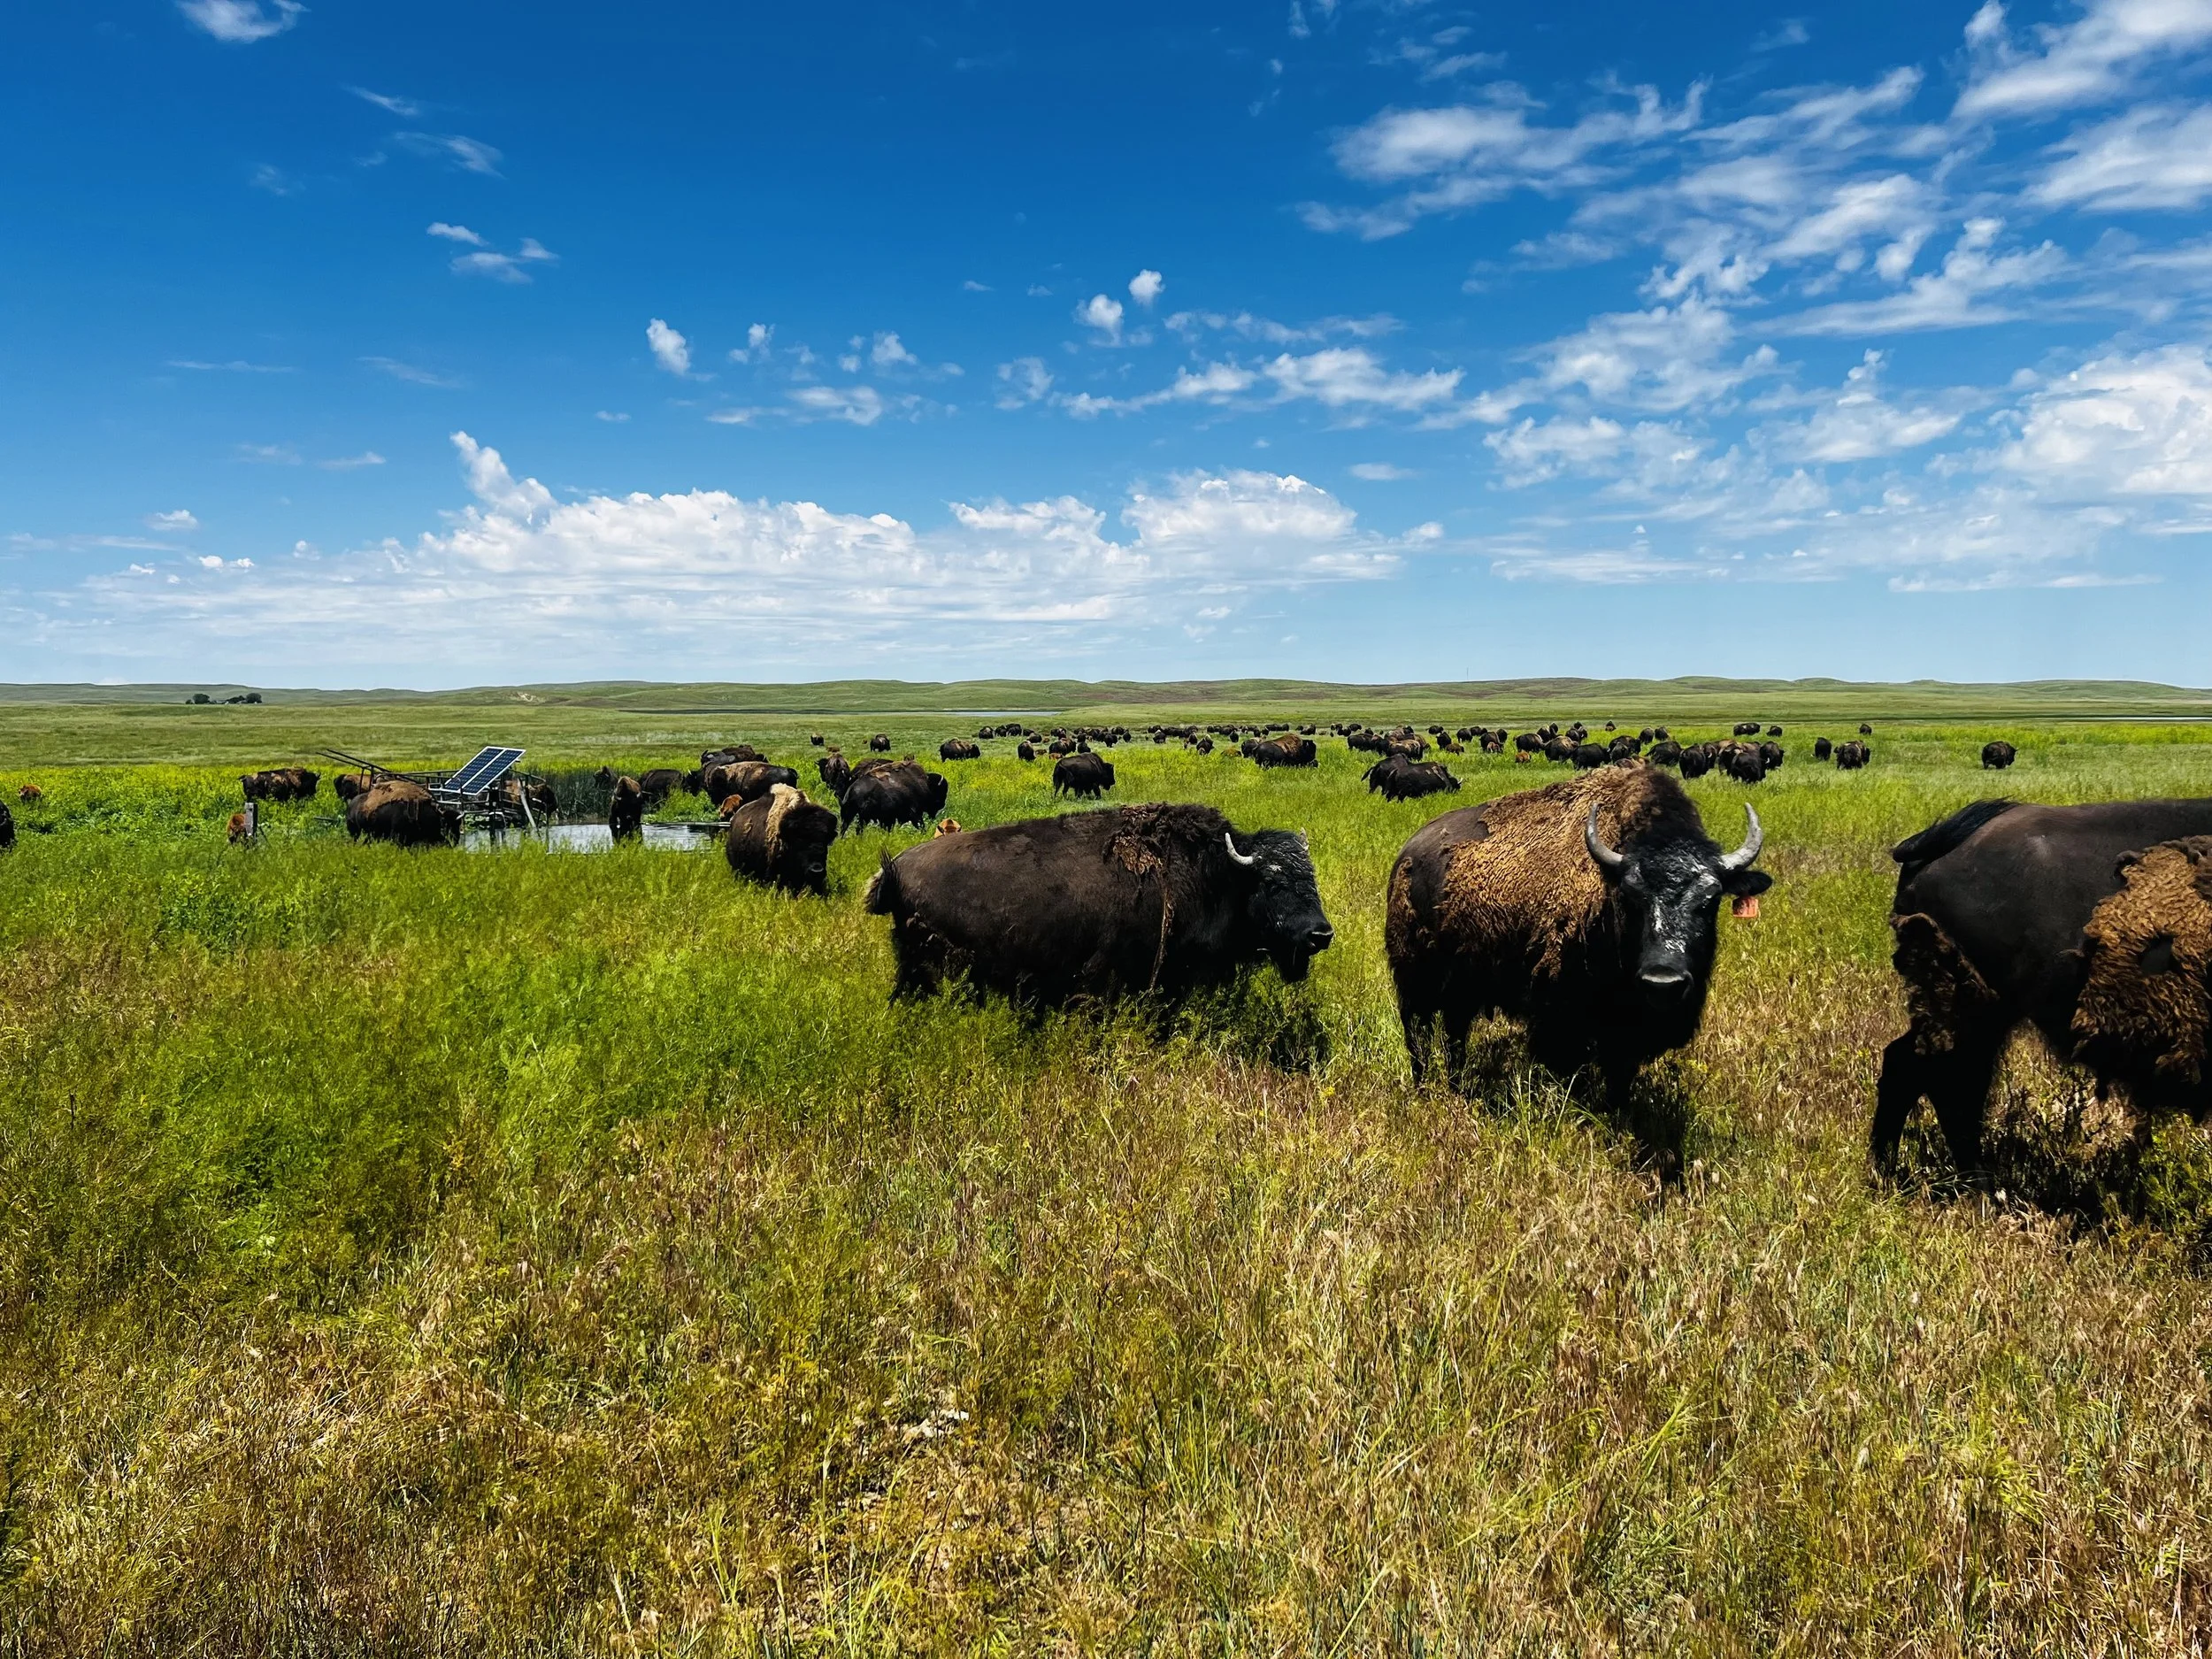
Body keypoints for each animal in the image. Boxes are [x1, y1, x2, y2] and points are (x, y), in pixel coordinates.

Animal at [1387, 766, 1769, 1176]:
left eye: (1710, 900)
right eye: (1631, 897)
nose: (1663, 983)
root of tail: (1408, 855)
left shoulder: (1623, 1035)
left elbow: (1618, 1081)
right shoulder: (1563, 1021)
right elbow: (1575, 1073)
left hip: (1463, 990)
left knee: (1454, 1036)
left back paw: (1458, 1088)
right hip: (1415, 983)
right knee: (1418, 1036)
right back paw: (1425, 1089)